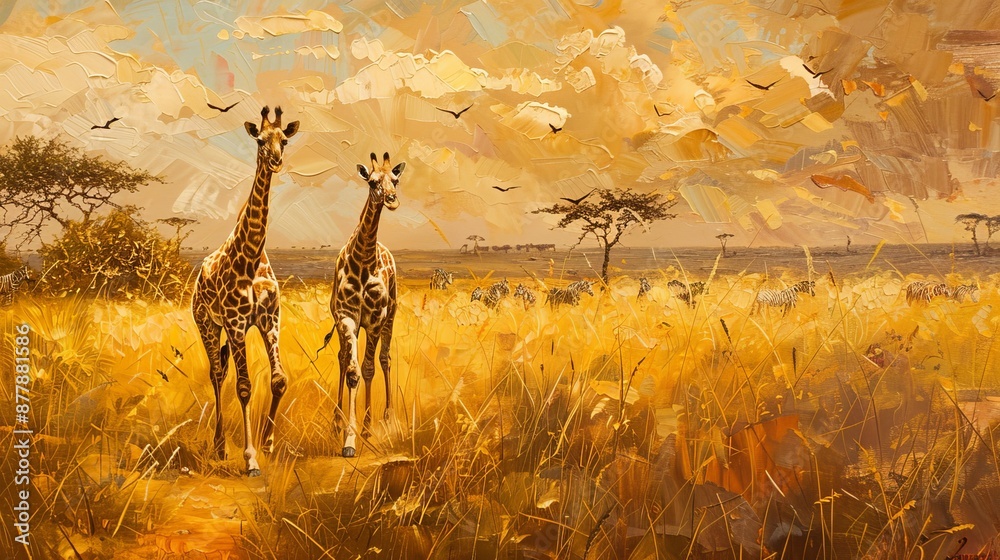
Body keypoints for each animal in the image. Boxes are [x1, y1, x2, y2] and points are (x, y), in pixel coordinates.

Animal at [191, 106, 299, 476]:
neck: (252, 256)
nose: (276, 160)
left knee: (220, 371)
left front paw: (267, 443)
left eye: (284, 140)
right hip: (207, 324)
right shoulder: (237, 324)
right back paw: (220, 446)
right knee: (216, 373)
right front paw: (250, 458)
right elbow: (244, 386)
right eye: (260, 140)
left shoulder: (270, 320)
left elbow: (279, 380)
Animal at [319, 152, 404, 457]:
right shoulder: (347, 317)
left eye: (395, 180)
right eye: (372, 181)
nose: (392, 200)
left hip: (390, 317)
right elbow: (353, 371)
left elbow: (369, 369)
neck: (365, 260)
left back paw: (384, 419)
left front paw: (362, 430)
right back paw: (337, 421)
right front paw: (348, 439)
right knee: (345, 359)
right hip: (353, 325)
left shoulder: (377, 317)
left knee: (384, 359)